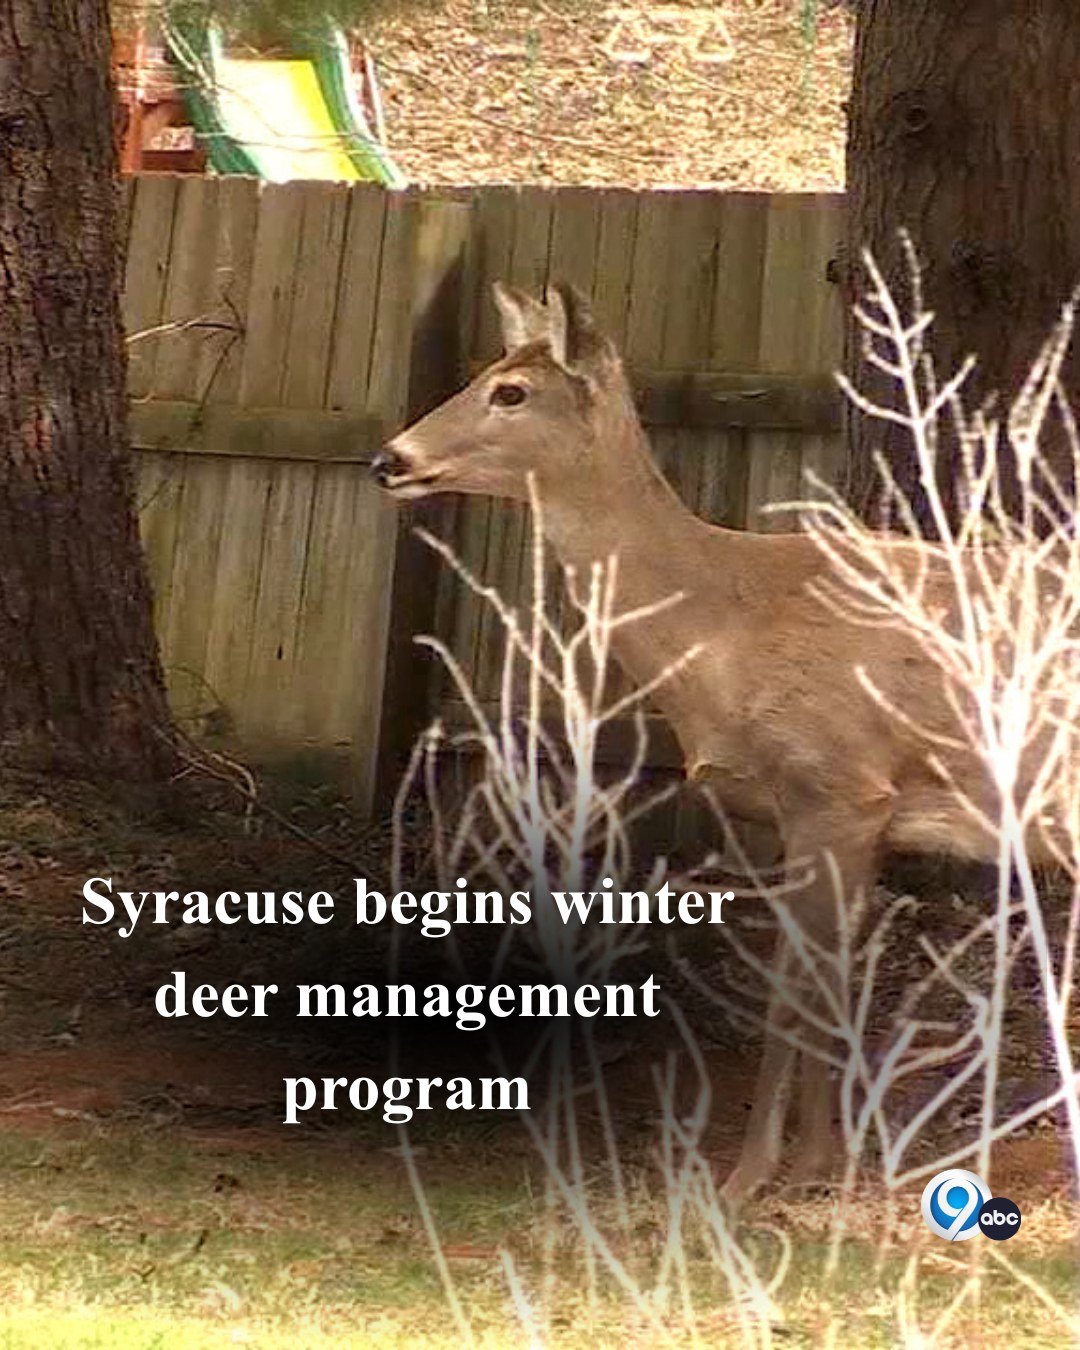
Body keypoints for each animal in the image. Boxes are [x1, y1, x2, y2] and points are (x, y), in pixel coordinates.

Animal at [371, 281, 1067, 1207]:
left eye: (510, 391)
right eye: (485, 372)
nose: (390, 459)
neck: (720, 629)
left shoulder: (840, 787)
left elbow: (793, 991)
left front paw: (752, 1176)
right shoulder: (819, 814)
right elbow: (824, 982)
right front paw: (819, 1163)